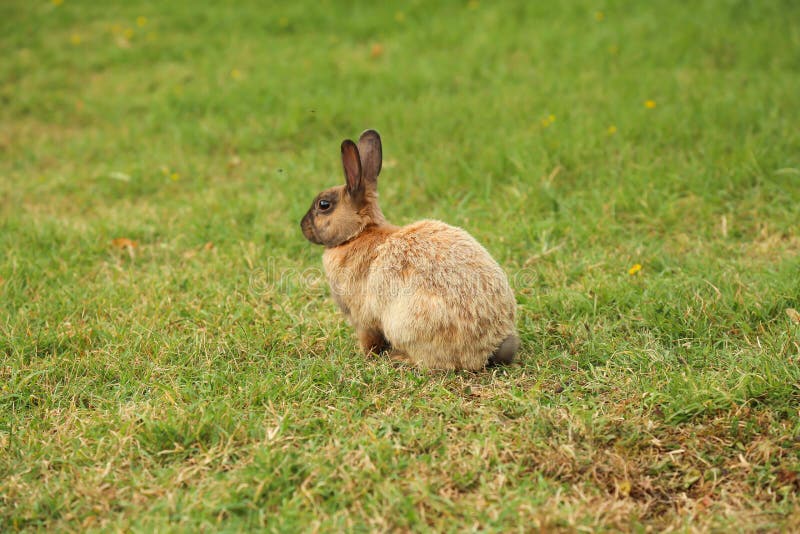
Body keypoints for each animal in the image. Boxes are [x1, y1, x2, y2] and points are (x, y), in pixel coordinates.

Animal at [300, 129, 519, 370]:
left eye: (324, 205)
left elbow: (369, 341)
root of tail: (489, 347)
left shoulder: (363, 319)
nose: (303, 226)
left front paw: (365, 356)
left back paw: (399, 358)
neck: (357, 233)